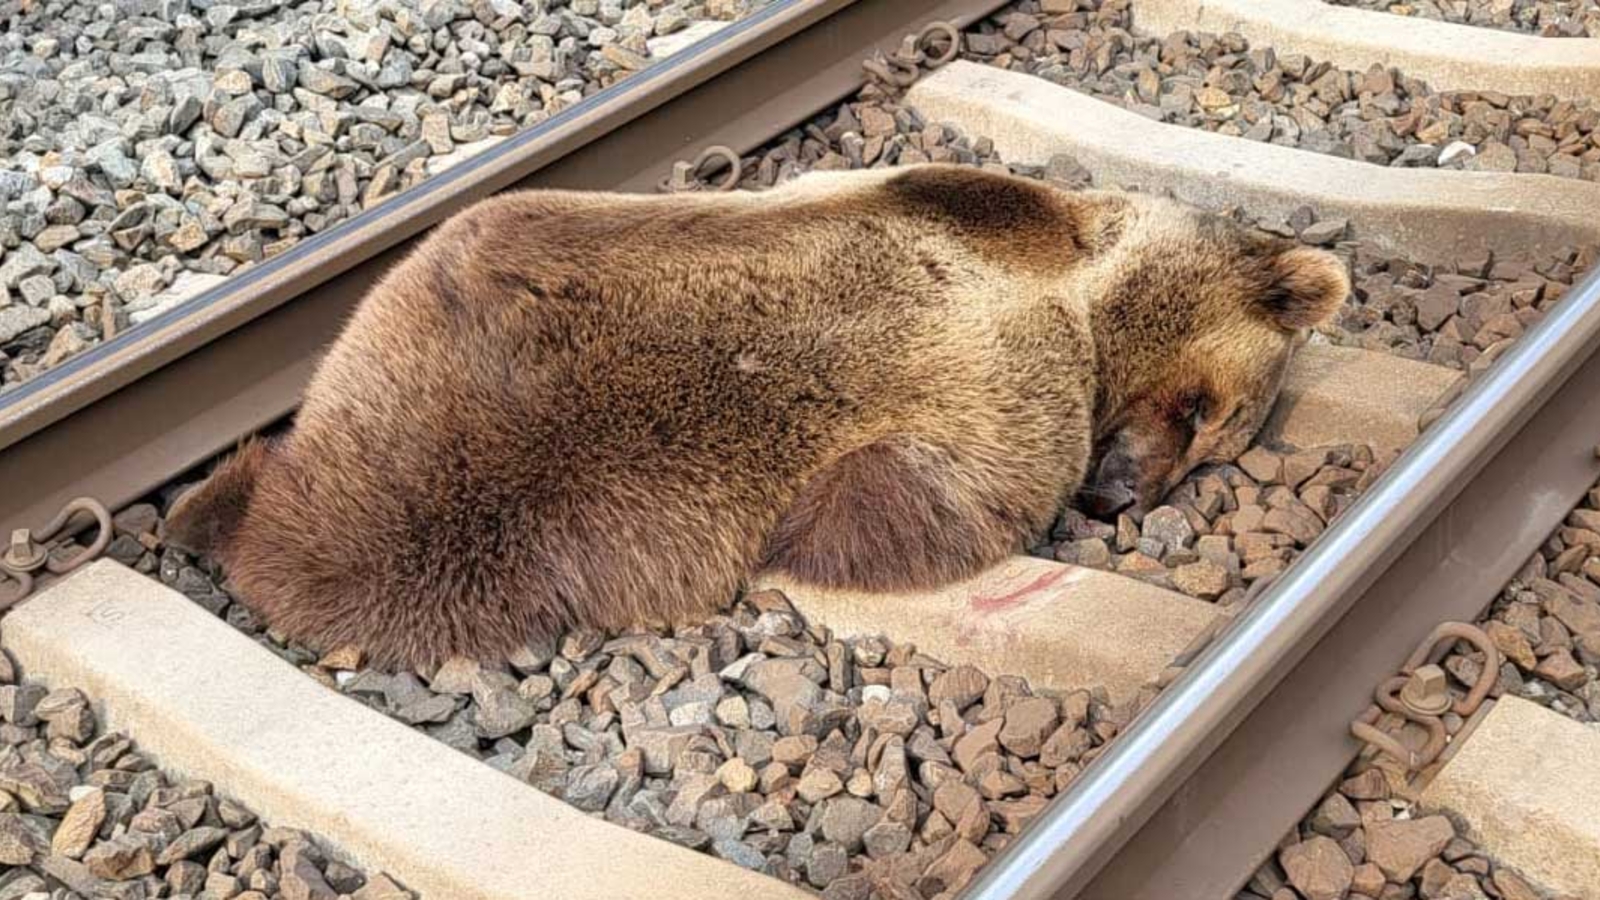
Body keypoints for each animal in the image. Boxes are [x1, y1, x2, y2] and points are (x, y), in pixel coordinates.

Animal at [162, 164, 1349, 669]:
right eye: (1206, 408)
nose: (1119, 492)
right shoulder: (1012, 355)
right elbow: (950, 491)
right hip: (456, 470)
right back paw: (215, 508)